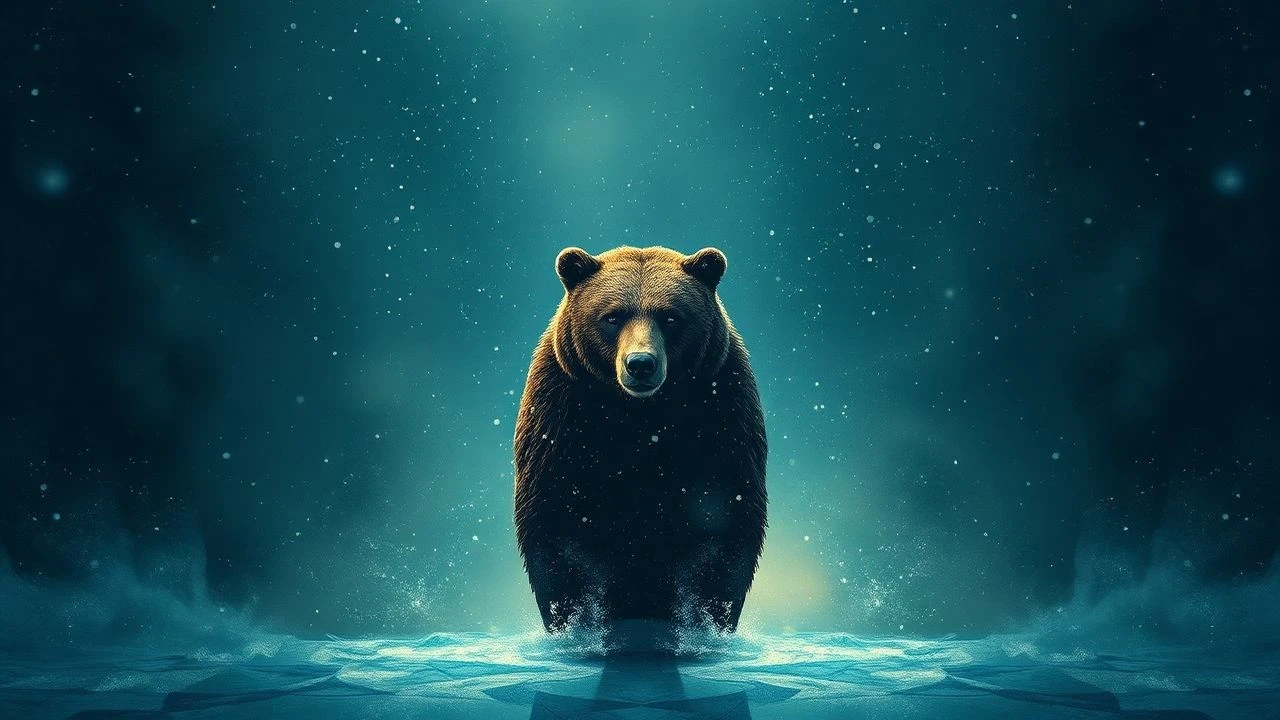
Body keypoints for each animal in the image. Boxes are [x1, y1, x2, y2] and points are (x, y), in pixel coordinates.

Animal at [513, 245, 767, 634]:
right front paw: (577, 624)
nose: (640, 364)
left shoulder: (722, 413)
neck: (640, 416)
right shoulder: (561, 416)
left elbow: (724, 520)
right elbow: (557, 524)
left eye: (671, 317)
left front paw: (703, 622)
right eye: (612, 317)